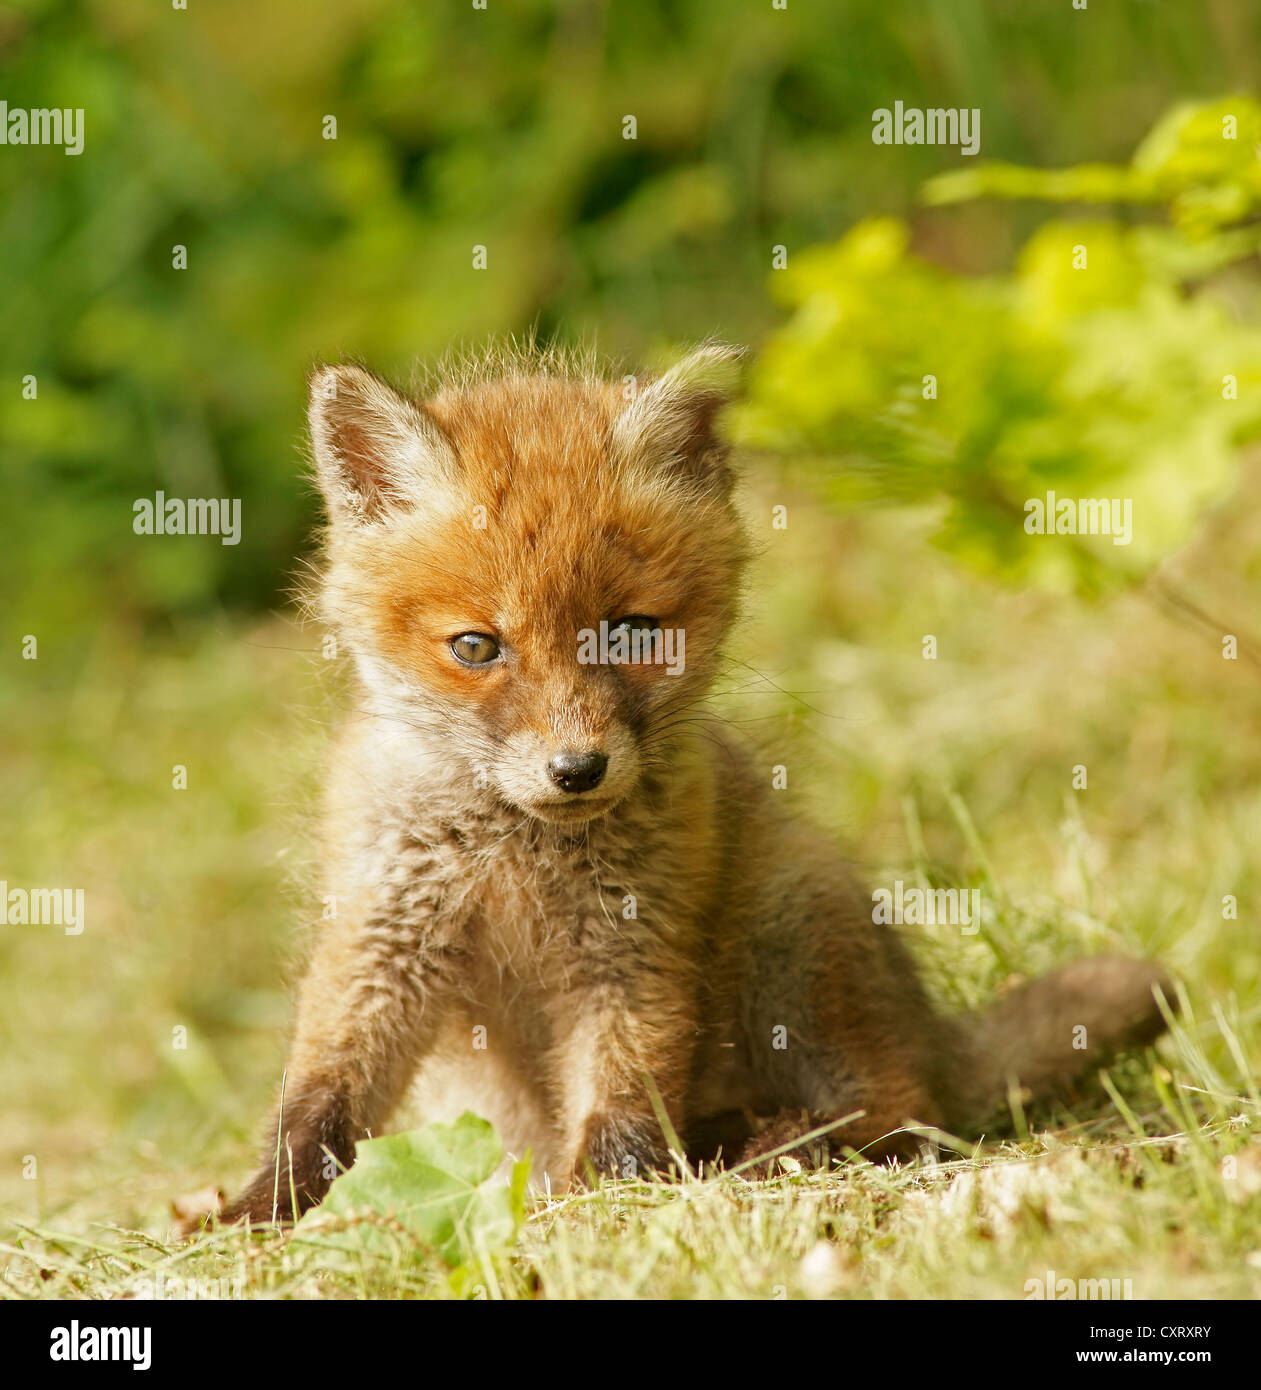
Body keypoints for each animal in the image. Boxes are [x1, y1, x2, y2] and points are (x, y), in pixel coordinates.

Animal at [209, 341, 1171, 1226]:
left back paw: (775, 1147)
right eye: (476, 647)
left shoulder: (636, 945)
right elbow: (322, 1102)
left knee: (902, 1117)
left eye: (631, 633)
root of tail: (933, 1033)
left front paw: (603, 1205)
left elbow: (622, 1102)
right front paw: (260, 1213)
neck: (518, 852)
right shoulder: (383, 939)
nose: (576, 770)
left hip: (791, 931)